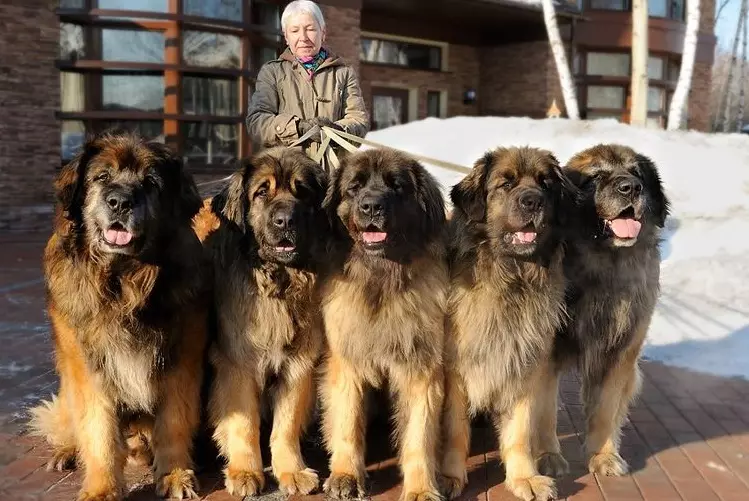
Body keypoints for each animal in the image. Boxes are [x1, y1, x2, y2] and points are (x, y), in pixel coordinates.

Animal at [30, 132, 207, 500]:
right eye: (101, 177)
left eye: (151, 183)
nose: (120, 202)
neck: (123, 284)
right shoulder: (88, 367)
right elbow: (98, 432)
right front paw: (102, 488)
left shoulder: (181, 358)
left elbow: (174, 421)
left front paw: (175, 475)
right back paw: (67, 452)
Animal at [196, 146, 328, 496]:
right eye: (261, 193)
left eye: (302, 191)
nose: (285, 221)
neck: (277, 281)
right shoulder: (237, 364)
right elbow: (244, 424)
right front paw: (245, 471)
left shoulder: (297, 364)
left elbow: (286, 425)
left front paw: (291, 471)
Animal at [318, 148, 448, 500]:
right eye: (355, 187)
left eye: (397, 186)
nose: (372, 206)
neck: (380, 279)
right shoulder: (348, 363)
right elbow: (347, 422)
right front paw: (346, 475)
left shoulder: (420, 368)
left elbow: (419, 435)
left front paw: (420, 488)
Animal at [442, 146, 576, 498]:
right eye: (506, 183)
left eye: (545, 184)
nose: (533, 202)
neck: (511, 279)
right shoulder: (455, 371)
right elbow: (454, 429)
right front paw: (448, 476)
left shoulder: (523, 364)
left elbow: (520, 431)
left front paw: (524, 477)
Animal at [536, 144, 668, 476]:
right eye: (596, 177)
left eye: (637, 173)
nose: (630, 188)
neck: (605, 265)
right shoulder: (545, 354)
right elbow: (543, 411)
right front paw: (547, 457)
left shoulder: (619, 354)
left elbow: (606, 409)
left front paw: (603, 455)